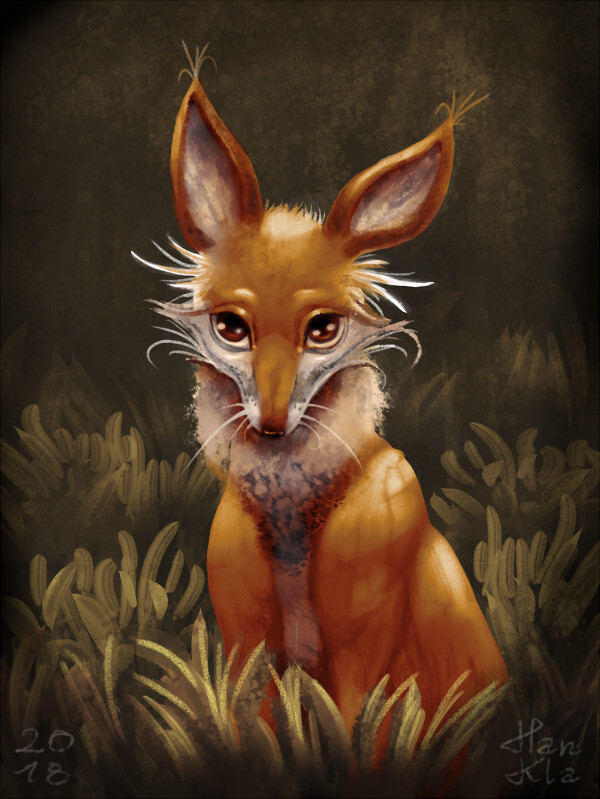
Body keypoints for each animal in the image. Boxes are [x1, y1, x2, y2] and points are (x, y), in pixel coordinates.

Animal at [135, 45, 507, 741]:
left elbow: (355, 732)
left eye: (324, 329)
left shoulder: (366, 645)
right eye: (231, 327)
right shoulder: (247, 646)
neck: (291, 520)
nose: (272, 424)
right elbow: (257, 729)